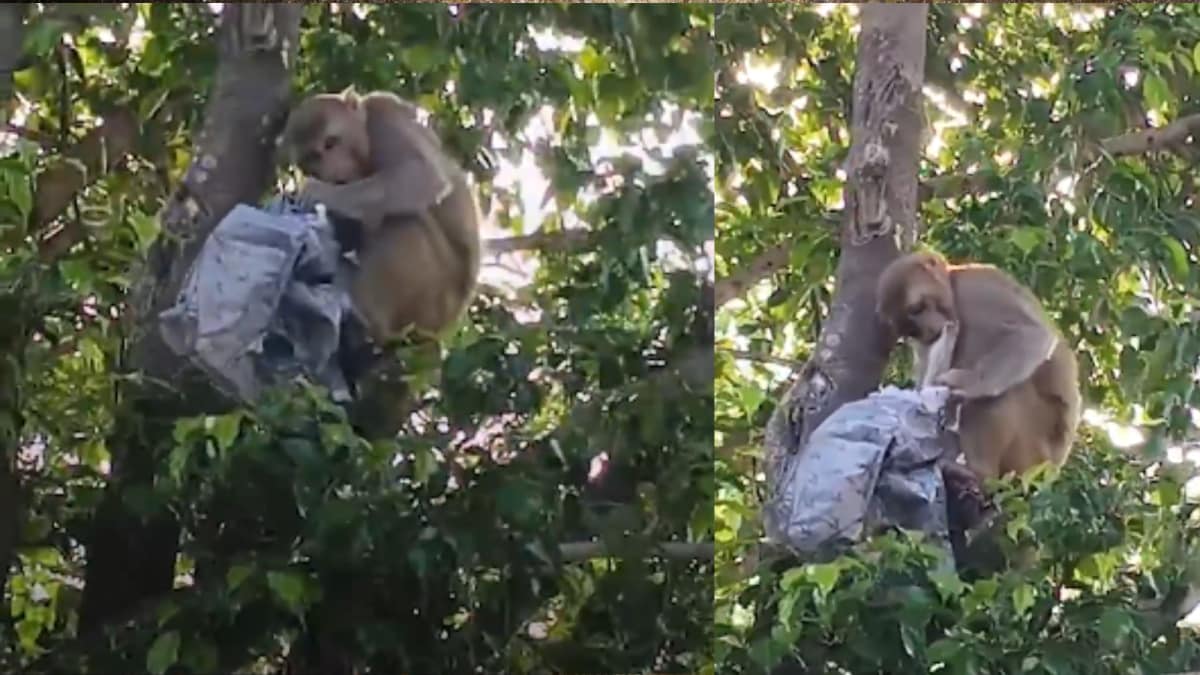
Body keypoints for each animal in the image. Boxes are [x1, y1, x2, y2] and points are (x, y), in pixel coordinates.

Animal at [280, 89, 482, 343]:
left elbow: (422, 175)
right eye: (311, 161)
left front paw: (317, 192)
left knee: (404, 221)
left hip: (435, 302)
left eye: (330, 143)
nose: (332, 173)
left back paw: (369, 319)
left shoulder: (383, 122)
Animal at [875, 251, 1082, 481]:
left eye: (918, 308)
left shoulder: (977, 287)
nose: (929, 329)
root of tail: (1053, 467)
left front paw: (968, 384)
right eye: (912, 328)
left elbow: (1032, 335)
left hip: (1033, 455)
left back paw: (979, 471)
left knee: (998, 395)